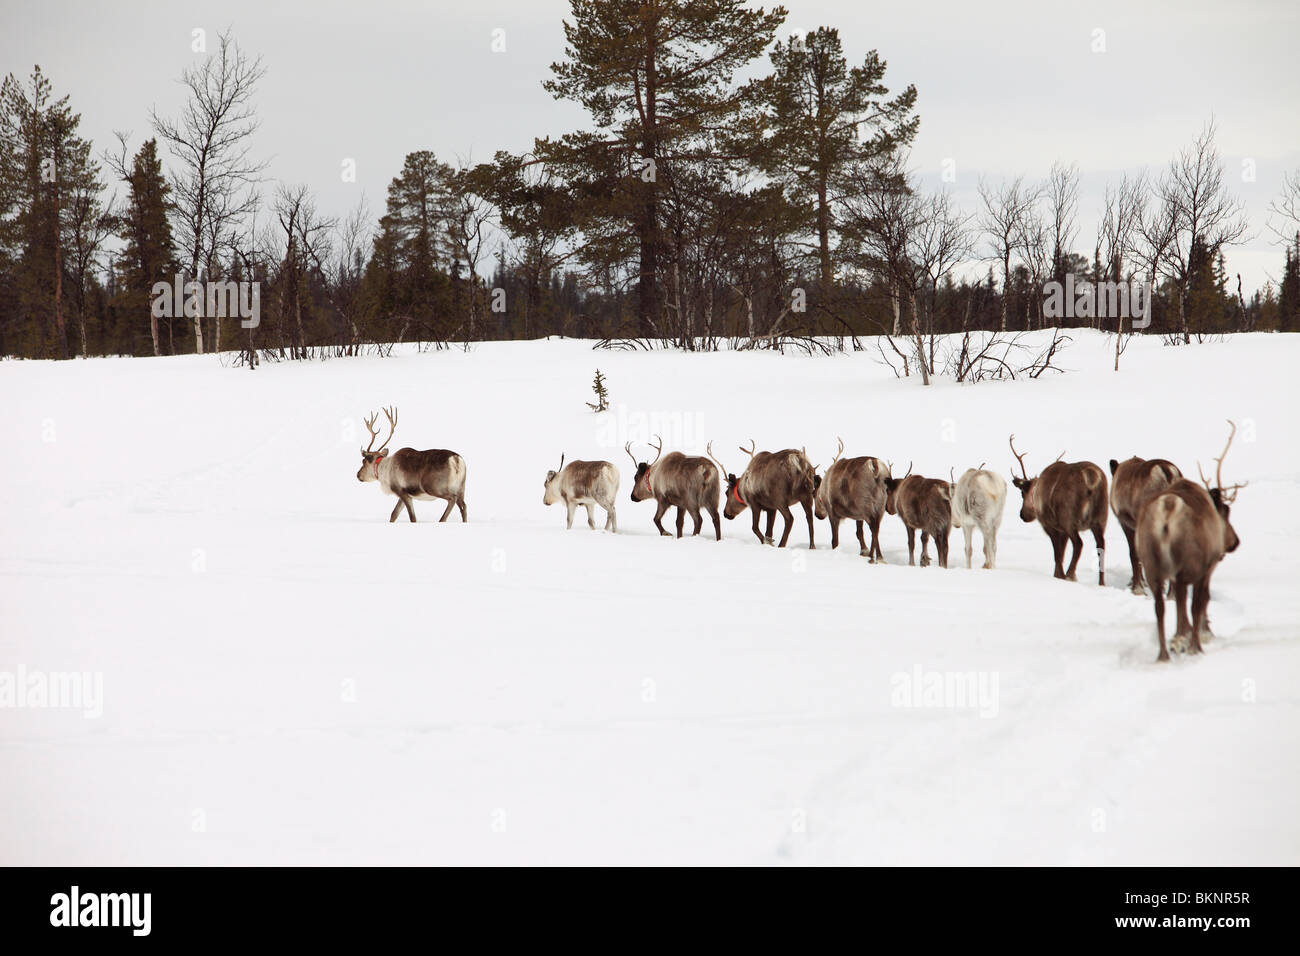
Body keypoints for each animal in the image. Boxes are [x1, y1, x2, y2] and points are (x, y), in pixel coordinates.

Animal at [1009, 435, 1107, 584]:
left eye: (1022, 493)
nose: (1022, 515)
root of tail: (1092, 476)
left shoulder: (1049, 525)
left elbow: (1057, 554)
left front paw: (1059, 575)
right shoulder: (1062, 530)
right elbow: (1061, 552)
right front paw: (1058, 574)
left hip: (1069, 517)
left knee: (1079, 543)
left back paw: (1070, 575)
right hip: (1100, 517)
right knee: (1101, 545)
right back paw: (1101, 583)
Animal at [1136, 421, 1244, 662]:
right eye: (1226, 511)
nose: (1235, 542)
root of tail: (1168, 507)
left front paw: (1182, 638)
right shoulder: (1207, 568)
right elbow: (1200, 602)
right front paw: (1199, 636)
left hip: (1151, 563)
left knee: (1160, 605)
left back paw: (1164, 654)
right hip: (1188, 562)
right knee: (1187, 600)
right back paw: (1192, 646)